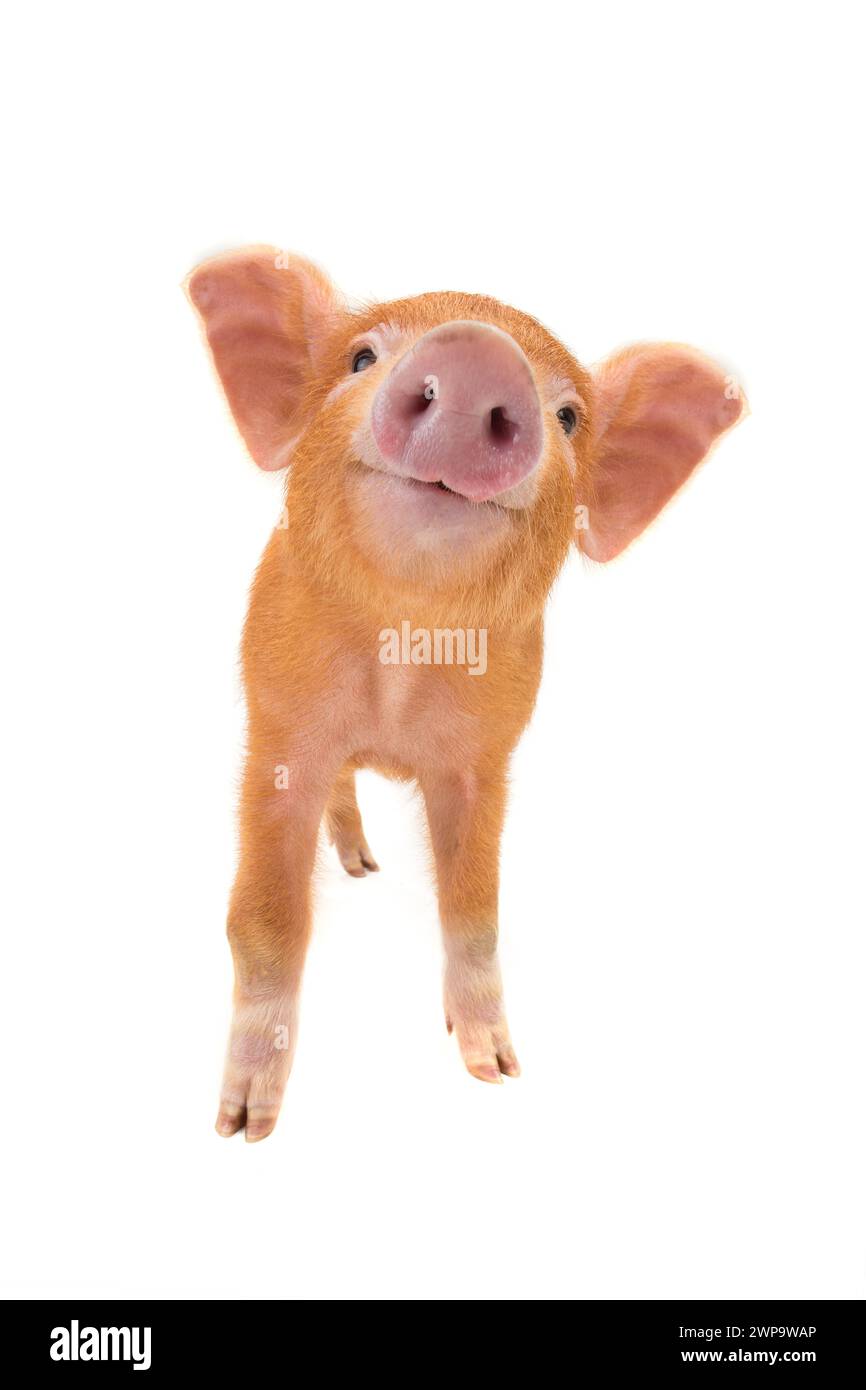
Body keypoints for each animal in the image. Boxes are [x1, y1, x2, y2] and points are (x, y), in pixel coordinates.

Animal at [187, 247, 744, 1141]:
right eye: (360, 359)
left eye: (569, 417)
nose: (477, 349)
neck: (403, 658)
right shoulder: (279, 729)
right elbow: (264, 920)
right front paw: (244, 1126)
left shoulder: (487, 758)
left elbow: (477, 910)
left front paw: (499, 1072)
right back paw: (356, 866)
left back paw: (367, 867)